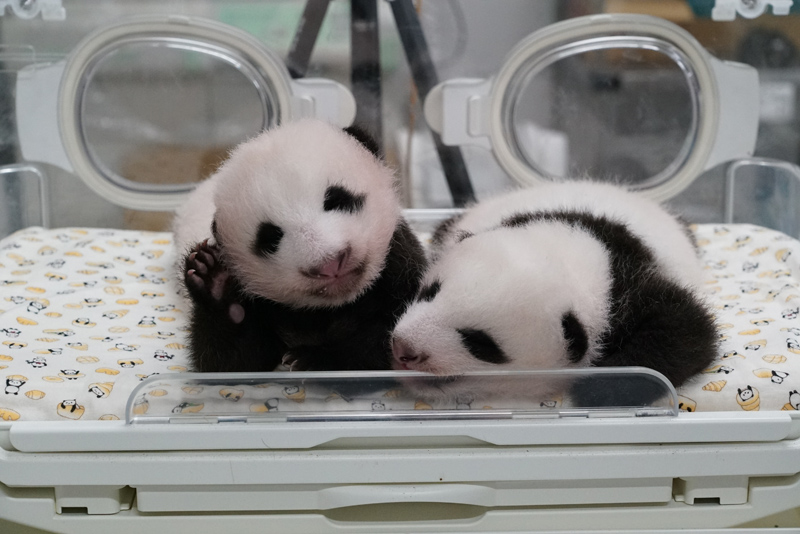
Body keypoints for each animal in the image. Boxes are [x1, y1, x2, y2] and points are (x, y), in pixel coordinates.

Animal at [173, 119, 427, 373]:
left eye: (337, 200)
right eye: (271, 239)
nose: (330, 264)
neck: (339, 305)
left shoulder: (400, 265)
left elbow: (384, 342)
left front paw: (313, 358)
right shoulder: (268, 307)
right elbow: (232, 362)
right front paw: (214, 279)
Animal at [391, 181, 718, 405]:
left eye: (479, 342)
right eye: (429, 292)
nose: (405, 348)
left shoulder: (629, 282)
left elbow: (687, 330)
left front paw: (599, 389)